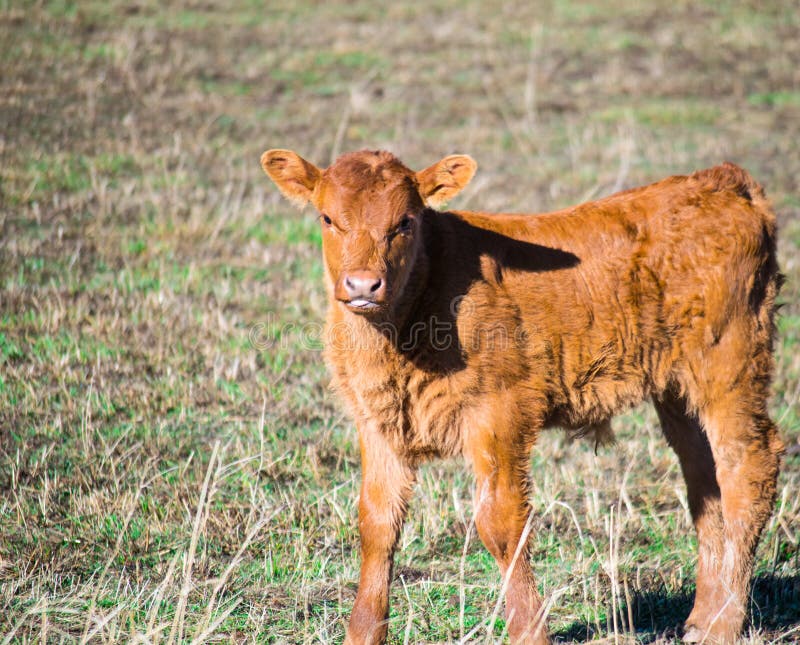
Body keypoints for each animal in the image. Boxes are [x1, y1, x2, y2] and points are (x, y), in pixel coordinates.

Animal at [260, 148, 783, 644]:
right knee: (705, 482)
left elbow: (501, 524)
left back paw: (725, 623)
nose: (363, 284)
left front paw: (529, 631)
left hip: (730, 365)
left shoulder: (500, 414)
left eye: (405, 221)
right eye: (327, 218)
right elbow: (377, 524)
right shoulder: (378, 422)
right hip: (678, 390)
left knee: (747, 468)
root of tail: (723, 182)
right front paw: (363, 632)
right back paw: (702, 619)